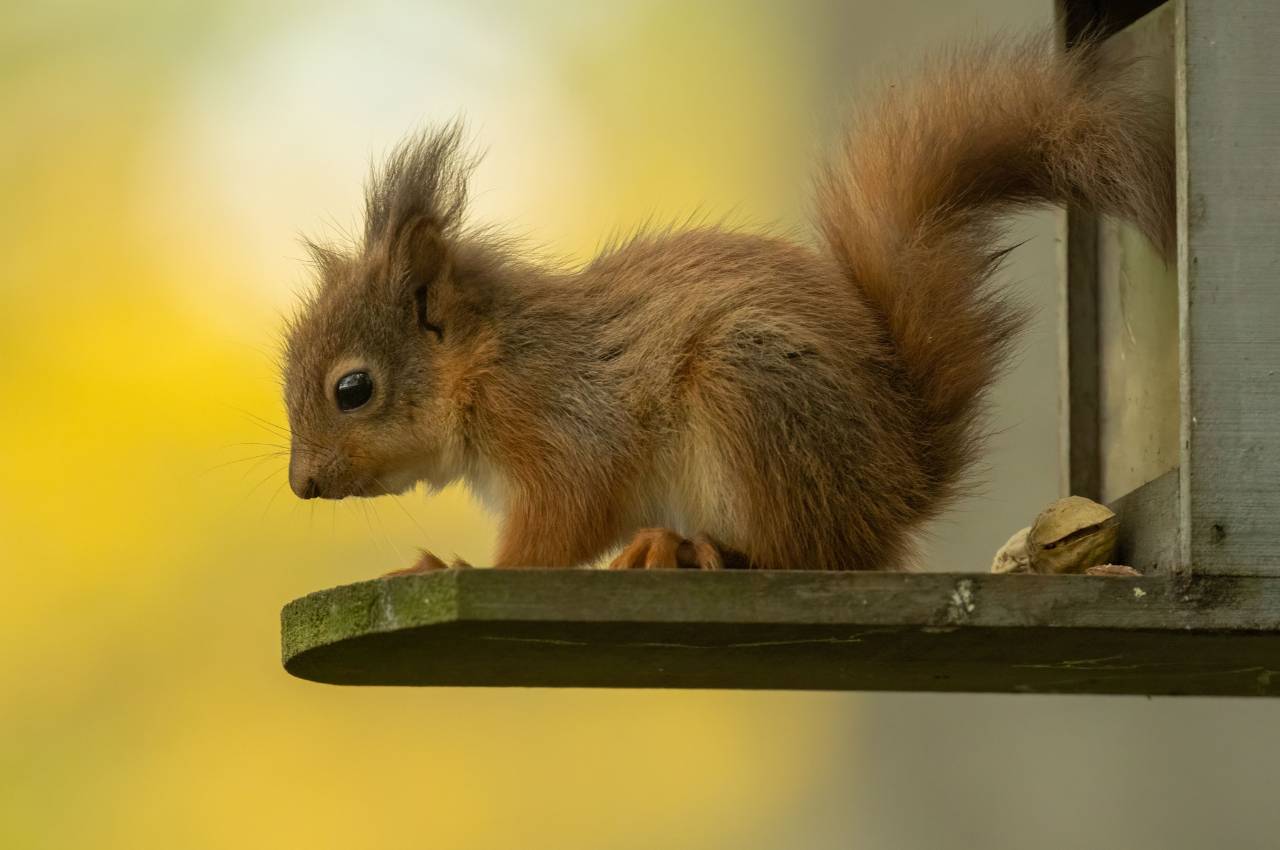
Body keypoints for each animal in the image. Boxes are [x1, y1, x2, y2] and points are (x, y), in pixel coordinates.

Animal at [281, 34, 1174, 573]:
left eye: (352, 389)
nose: (303, 486)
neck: (490, 358)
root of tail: (899, 485)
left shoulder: (567, 427)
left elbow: (564, 524)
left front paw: (462, 568)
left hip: (753, 392)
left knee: (803, 555)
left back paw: (698, 549)